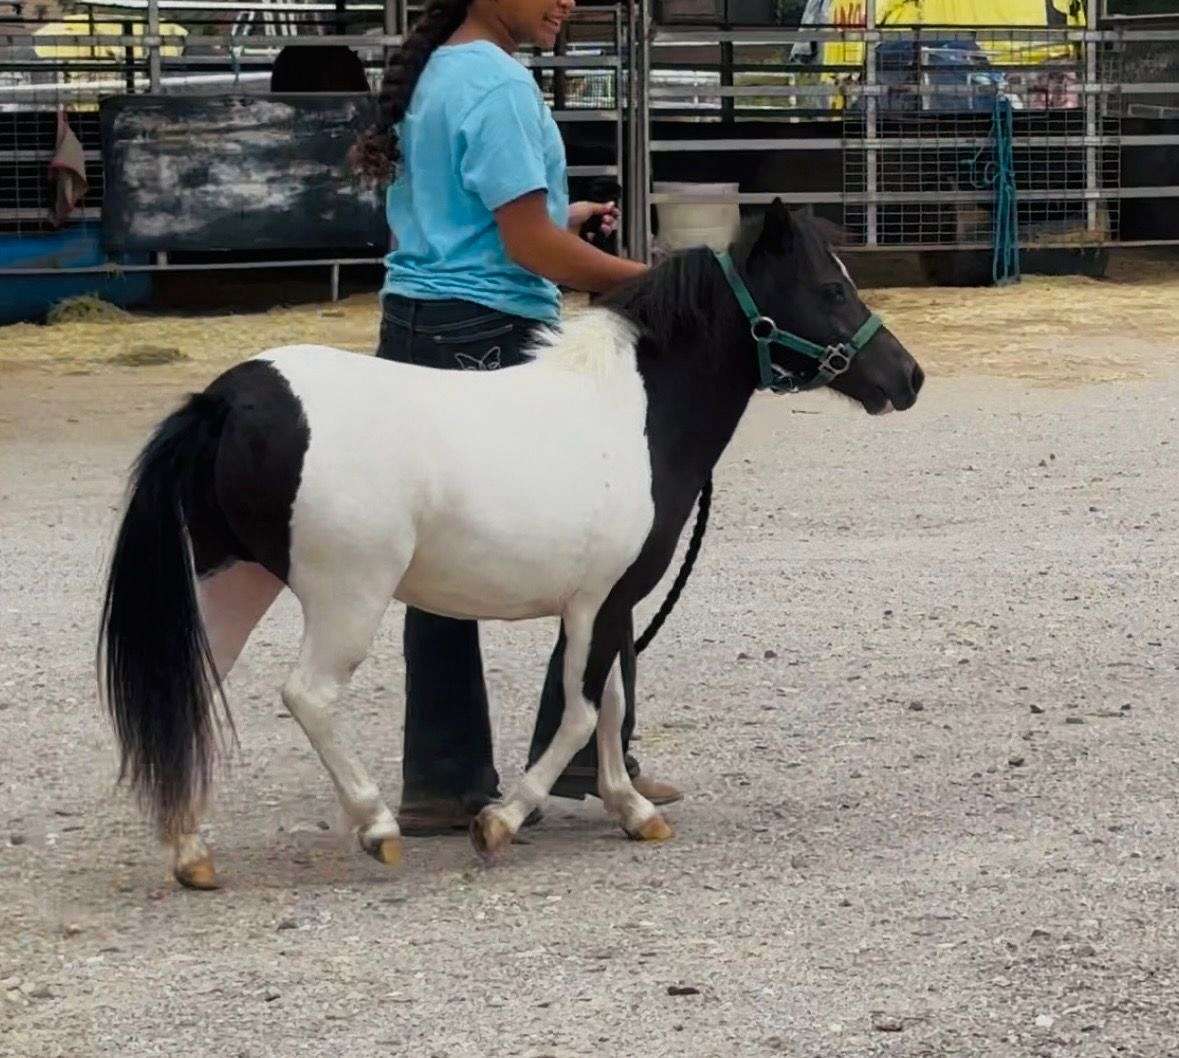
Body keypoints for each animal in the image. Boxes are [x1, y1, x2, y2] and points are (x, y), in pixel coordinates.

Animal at [98, 203, 924, 890]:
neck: (633, 413)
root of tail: (226, 399)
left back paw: (192, 852)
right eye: (830, 289)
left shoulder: (609, 605)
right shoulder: (596, 605)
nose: (908, 377)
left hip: (233, 578)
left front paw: (631, 810)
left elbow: (611, 703)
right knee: (309, 695)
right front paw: (499, 822)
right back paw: (377, 826)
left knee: (199, 688)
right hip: (346, 595)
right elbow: (583, 712)